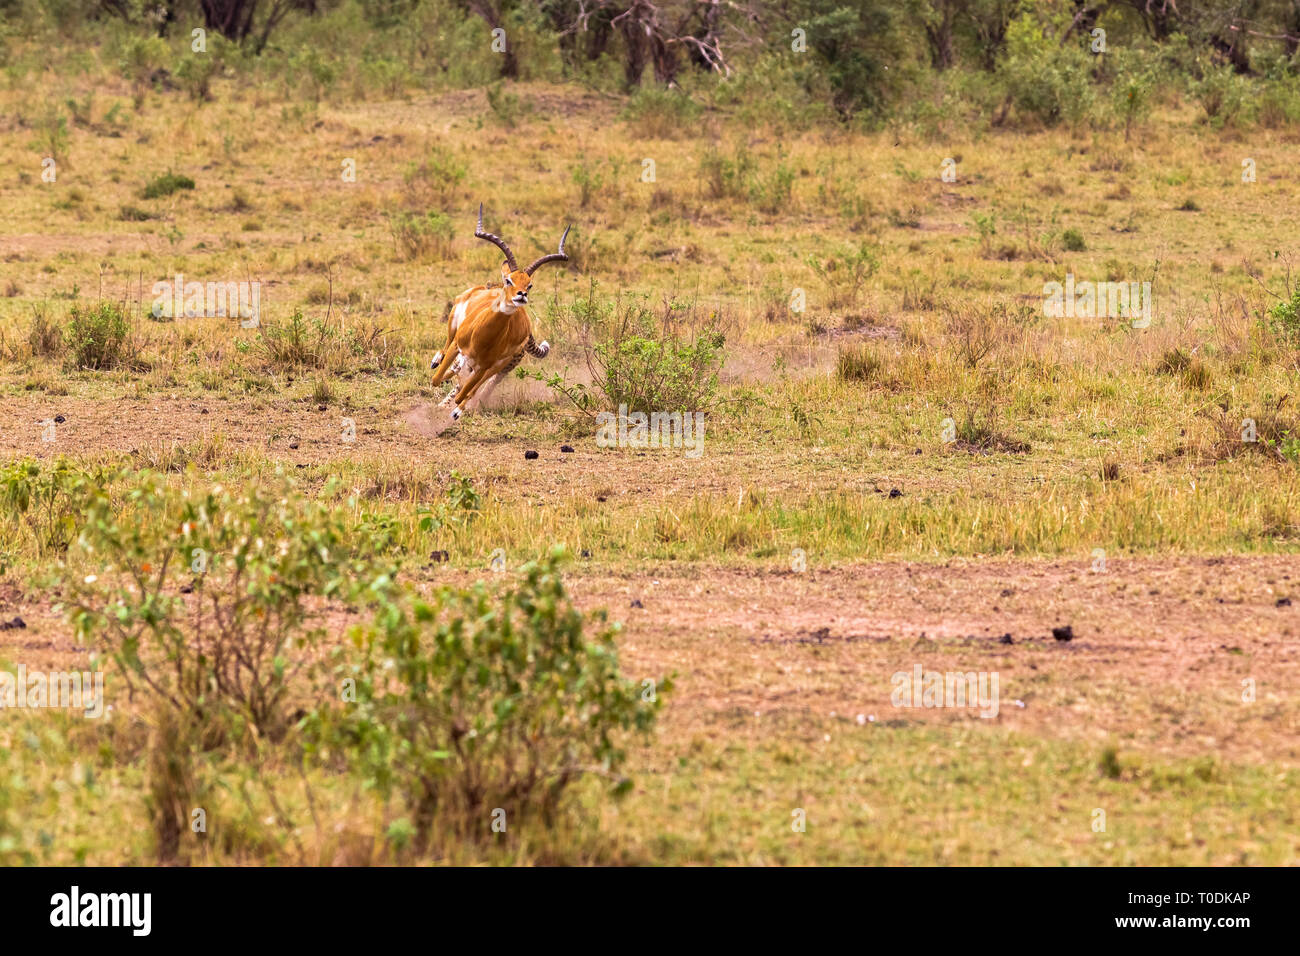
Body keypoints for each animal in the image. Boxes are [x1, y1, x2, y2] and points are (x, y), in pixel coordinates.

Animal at [430, 204, 570, 420]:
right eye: (509, 280)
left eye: (529, 285)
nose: (521, 295)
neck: (482, 337)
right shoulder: (457, 346)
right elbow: (438, 379)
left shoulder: (486, 367)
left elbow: (464, 392)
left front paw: (457, 410)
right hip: (454, 323)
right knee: (447, 356)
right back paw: (437, 363)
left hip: (495, 367)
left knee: (469, 387)